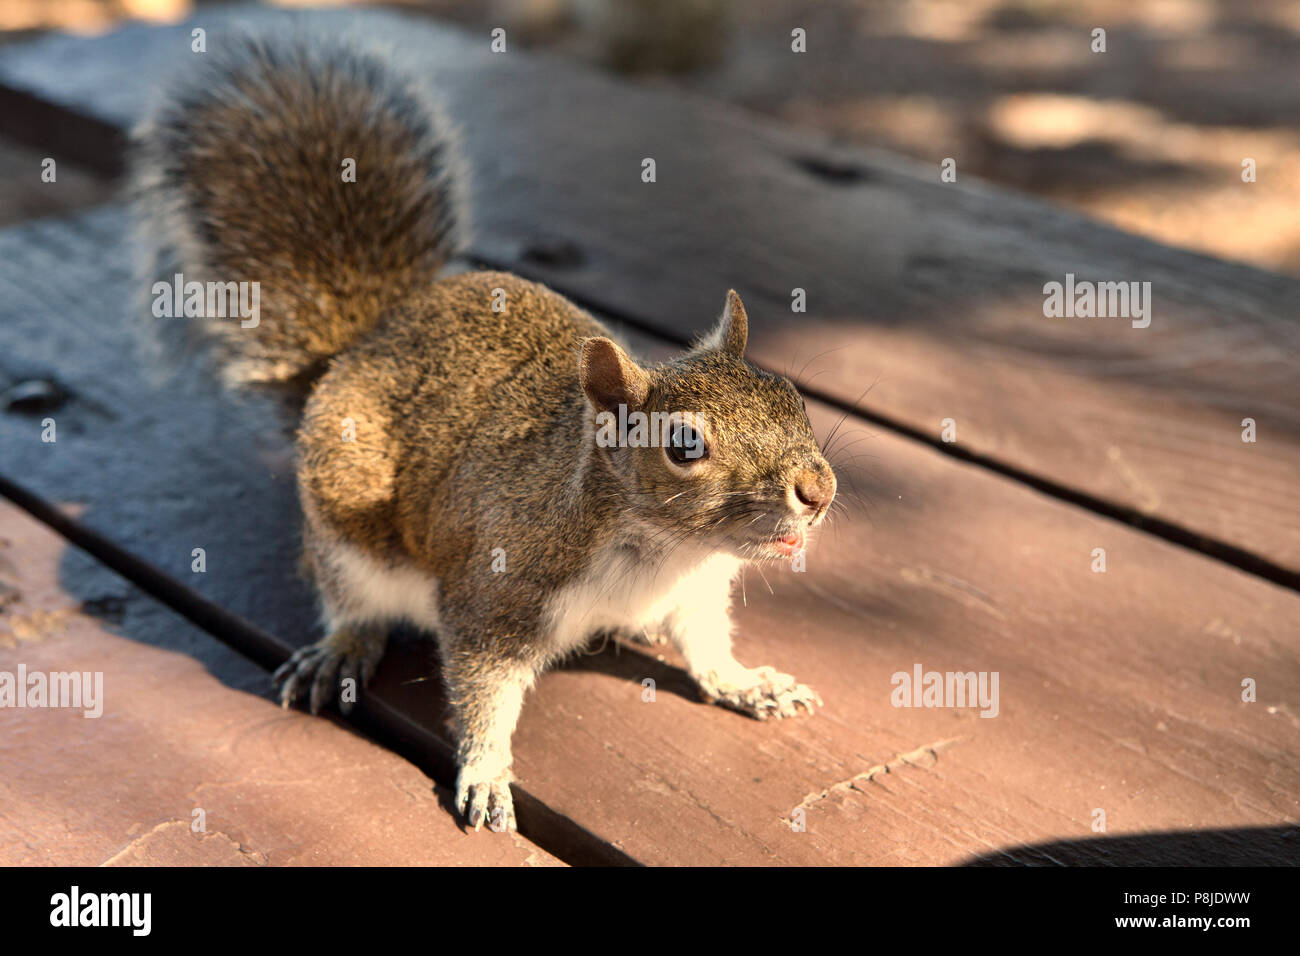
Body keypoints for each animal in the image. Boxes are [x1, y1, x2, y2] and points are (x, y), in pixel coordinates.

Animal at [129, 32, 837, 832]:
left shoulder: (695, 592)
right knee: (348, 600)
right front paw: (488, 772)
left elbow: (707, 646)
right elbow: (483, 690)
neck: (660, 552)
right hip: (345, 530)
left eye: (792, 397)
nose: (818, 490)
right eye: (685, 446)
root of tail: (365, 342)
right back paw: (340, 648)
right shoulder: (496, 591)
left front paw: (746, 683)